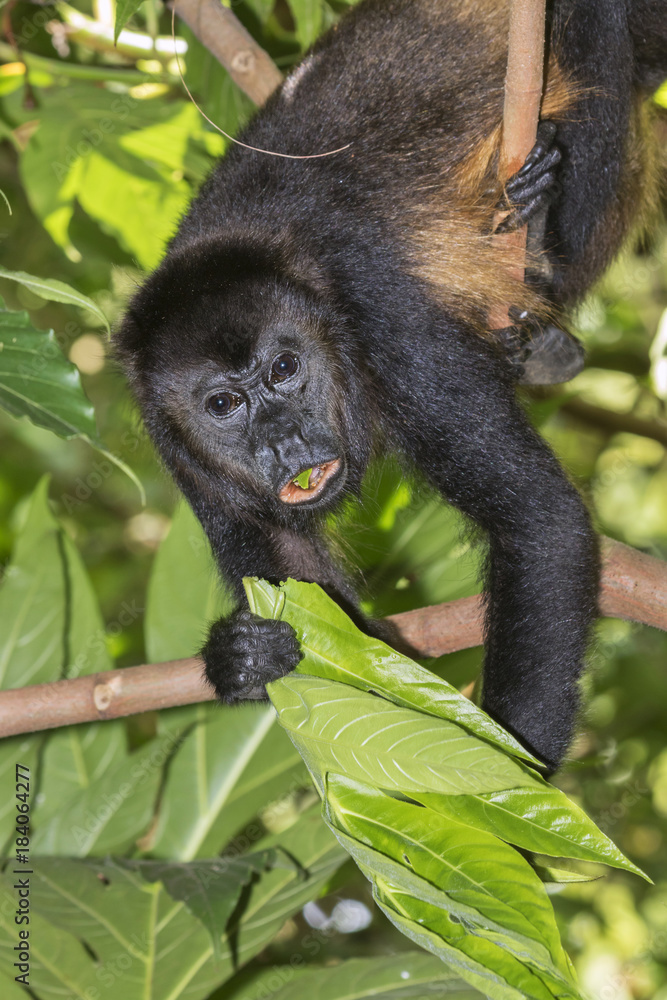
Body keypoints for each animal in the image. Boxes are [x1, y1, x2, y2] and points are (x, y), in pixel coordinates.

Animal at [116, 0, 667, 773]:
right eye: (222, 404)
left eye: (284, 369)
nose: (282, 440)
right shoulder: (173, 443)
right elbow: (329, 619)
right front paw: (239, 663)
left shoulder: (392, 327)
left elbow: (542, 525)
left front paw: (510, 782)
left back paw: (538, 240)